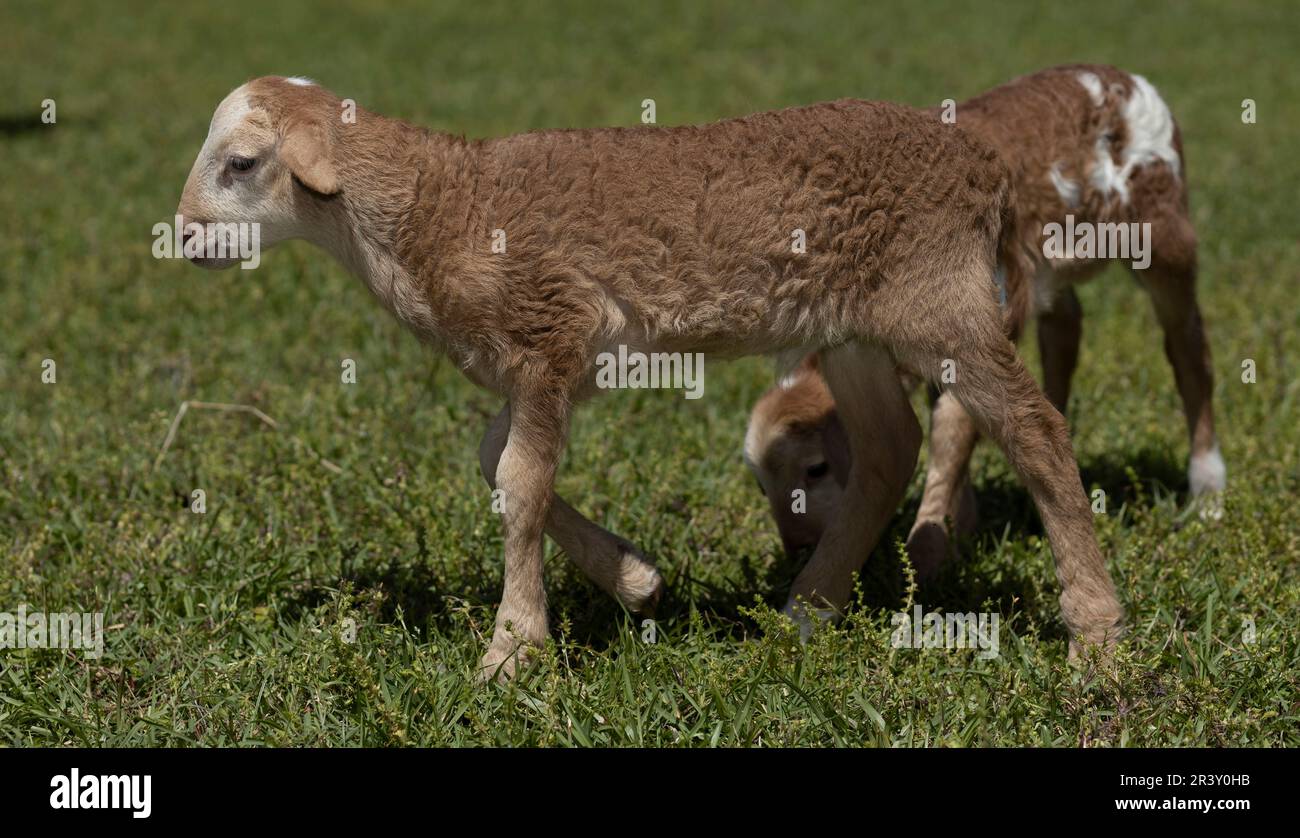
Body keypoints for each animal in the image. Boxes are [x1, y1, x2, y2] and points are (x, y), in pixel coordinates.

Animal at [176, 76, 1124, 678]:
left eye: (241, 163)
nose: (182, 237)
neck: (439, 207)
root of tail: (983, 168)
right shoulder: (554, 365)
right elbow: (497, 465)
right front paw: (634, 579)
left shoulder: (548, 336)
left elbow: (521, 482)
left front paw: (512, 653)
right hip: (856, 328)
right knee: (891, 449)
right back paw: (807, 614)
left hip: (941, 305)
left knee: (1036, 428)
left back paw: (1098, 640)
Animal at [746, 64, 1220, 581]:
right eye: (760, 486)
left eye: (815, 469)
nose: (799, 549)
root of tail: (1113, 75)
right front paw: (960, 526)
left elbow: (953, 431)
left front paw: (927, 550)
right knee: (1066, 326)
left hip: (1163, 227)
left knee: (1187, 346)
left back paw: (1207, 489)